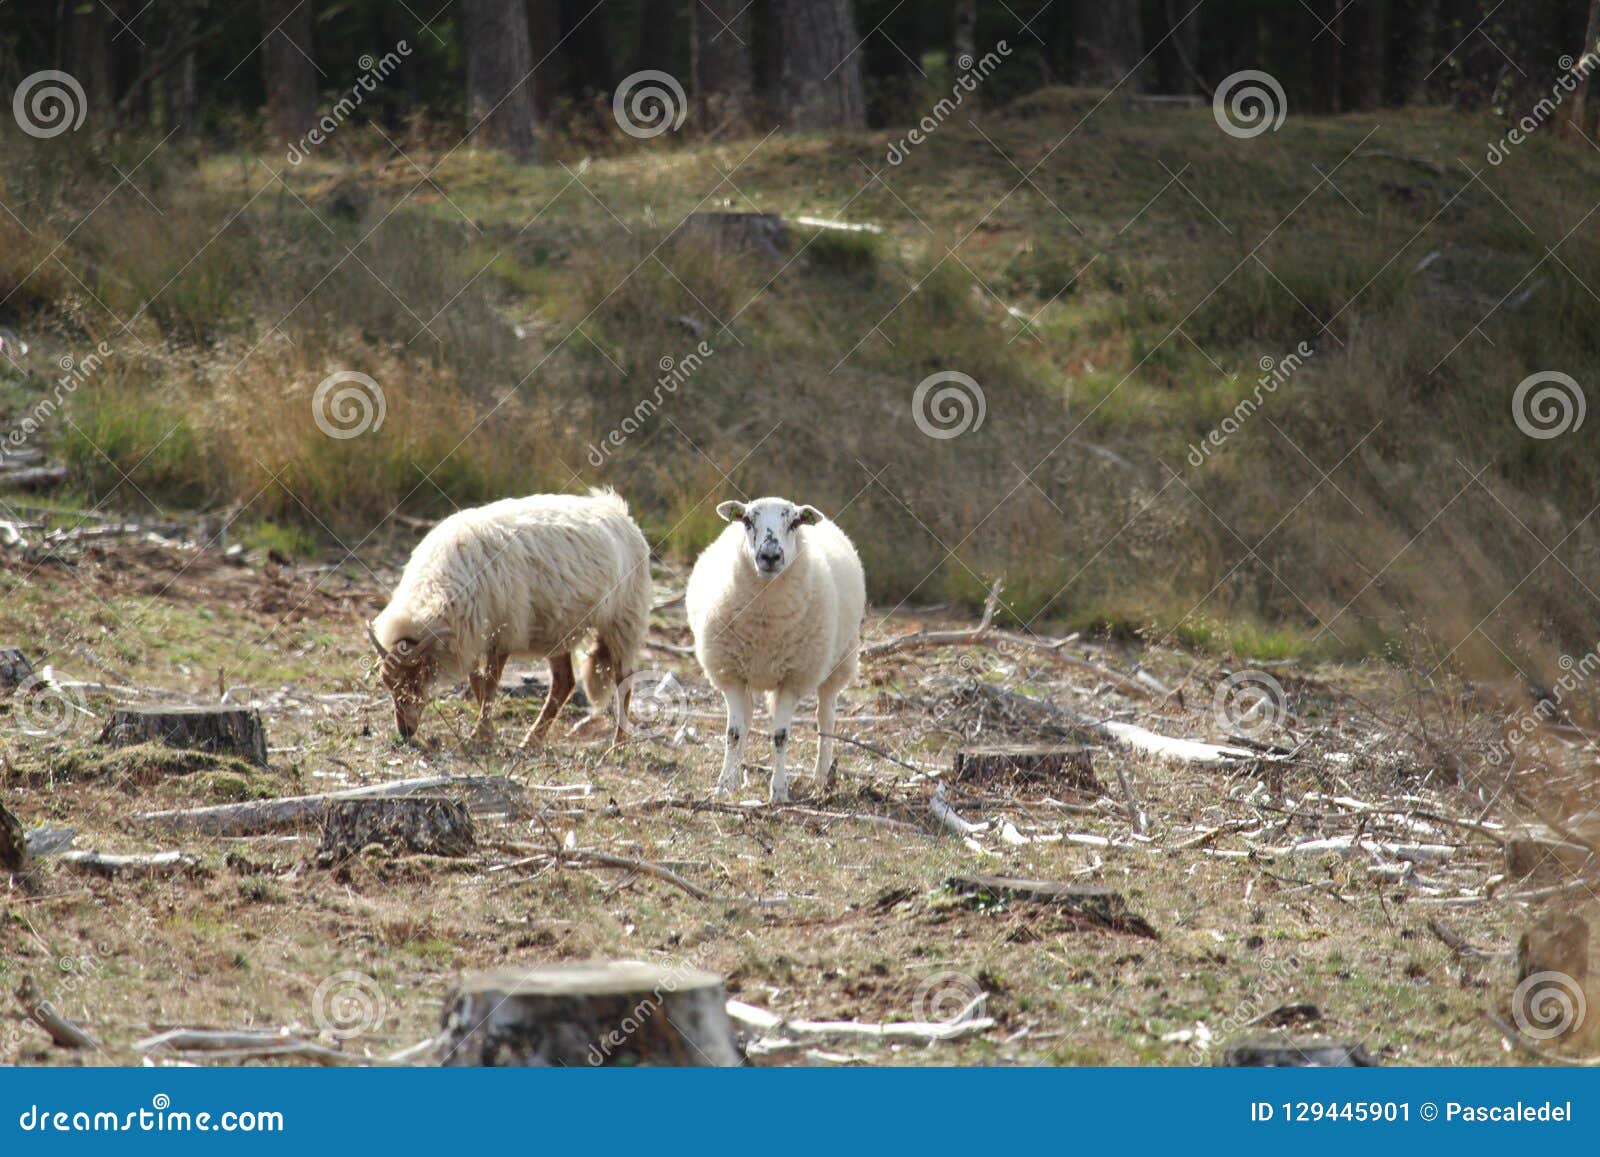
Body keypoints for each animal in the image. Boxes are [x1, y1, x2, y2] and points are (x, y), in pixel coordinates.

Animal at [367, 489, 652, 749]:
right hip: (559, 628)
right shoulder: (469, 637)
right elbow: (477, 682)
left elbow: (490, 684)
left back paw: (618, 745)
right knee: (564, 683)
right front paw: (487, 731)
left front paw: (481, 733)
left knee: (624, 681)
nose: (404, 731)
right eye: (388, 686)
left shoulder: (502, 632)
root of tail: (619, 511)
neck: (437, 587)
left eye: (415, 682)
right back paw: (531, 741)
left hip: (624, 620)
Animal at [686, 496, 866, 802]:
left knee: (826, 719)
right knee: (747, 719)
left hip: (839, 662)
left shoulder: (793, 678)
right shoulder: (731, 673)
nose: (770, 556)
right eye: (747, 520)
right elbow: (734, 733)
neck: (765, 623)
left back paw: (822, 776)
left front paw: (779, 791)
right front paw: (724, 785)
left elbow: (781, 736)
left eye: (794, 523)